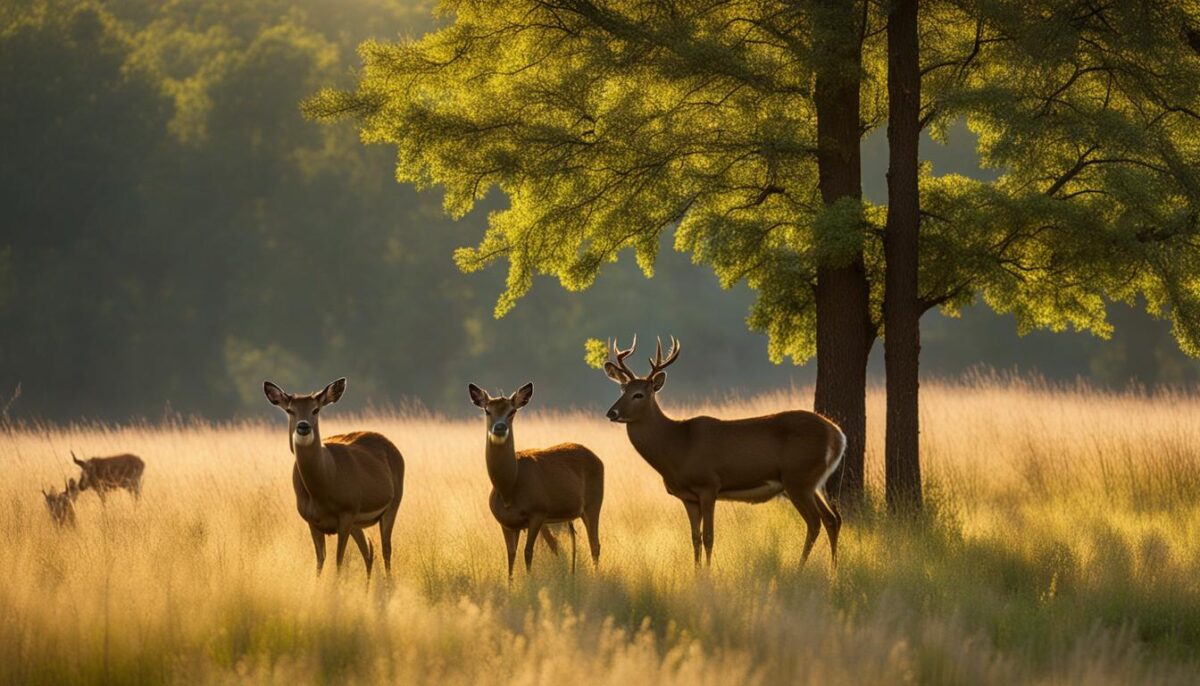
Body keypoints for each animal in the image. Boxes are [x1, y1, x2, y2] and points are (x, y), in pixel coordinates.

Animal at [264, 378, 404, 576]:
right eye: (290, 410)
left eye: (316, 409)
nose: (303, 426)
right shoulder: (311, 520)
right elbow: (320, 562)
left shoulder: (346, 513)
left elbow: (339, 562)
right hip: (358, 523)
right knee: (369, 552)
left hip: (392, 505)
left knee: (385, 549)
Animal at [468, 382, 604, 580]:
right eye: (487, 410)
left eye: (512, 411)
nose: (499, 427)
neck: (509, 489)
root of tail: (598, 459)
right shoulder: (506, 523)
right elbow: (511, 556)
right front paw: (511, 585)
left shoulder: (537, 512)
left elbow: (528, 553)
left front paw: (530, 583)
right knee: (568, 544)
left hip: (593, 504)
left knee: (595, 545)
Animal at [602, 336, 845, 568]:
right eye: (622, 390)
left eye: (639, 395)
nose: (611, 413)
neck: (678, 446)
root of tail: (838, 435)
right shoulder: (687, 497)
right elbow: (695, 538)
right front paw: (697, 573)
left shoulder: (708, 485)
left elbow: (709, 537)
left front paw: (708, 574)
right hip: (811, 482)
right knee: (833, 519)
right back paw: (833, 570)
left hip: (798, 479)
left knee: (815, 522)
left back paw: (801, 569)